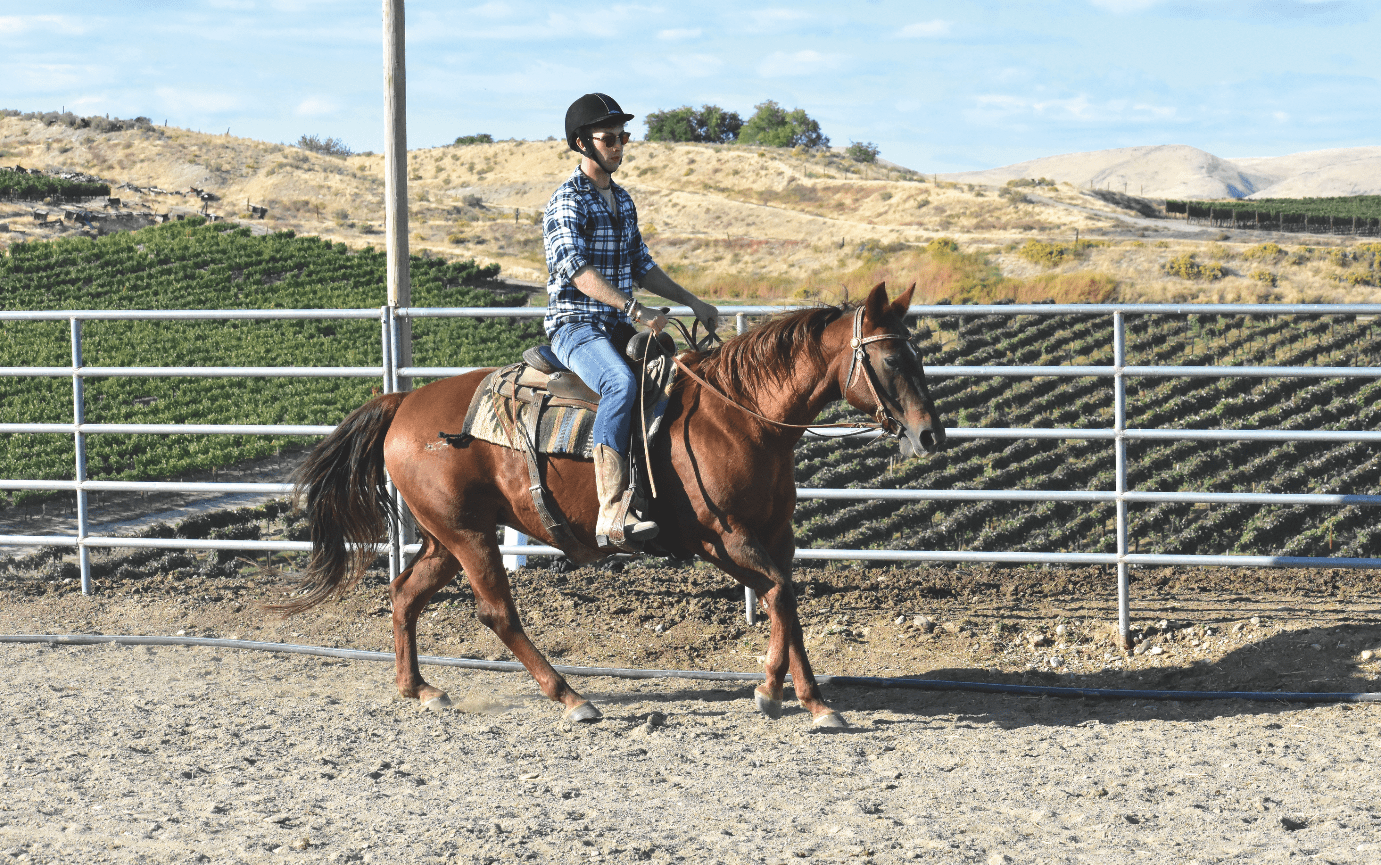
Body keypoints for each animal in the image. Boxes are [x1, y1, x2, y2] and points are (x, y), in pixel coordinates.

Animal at [280, 281, 944, 728]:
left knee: (405, 595)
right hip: (468, 536)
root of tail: (402, 403)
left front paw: (798, 695)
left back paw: (419, 688)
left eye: (918, 355)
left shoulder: (776, 535)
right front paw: (782, 693)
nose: (929, 435)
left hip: (447, 536)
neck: (738, 417)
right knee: (497, 614)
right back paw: (572, 698)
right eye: (891, 358)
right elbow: (780, 593)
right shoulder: (718, 537)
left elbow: (789, 600)